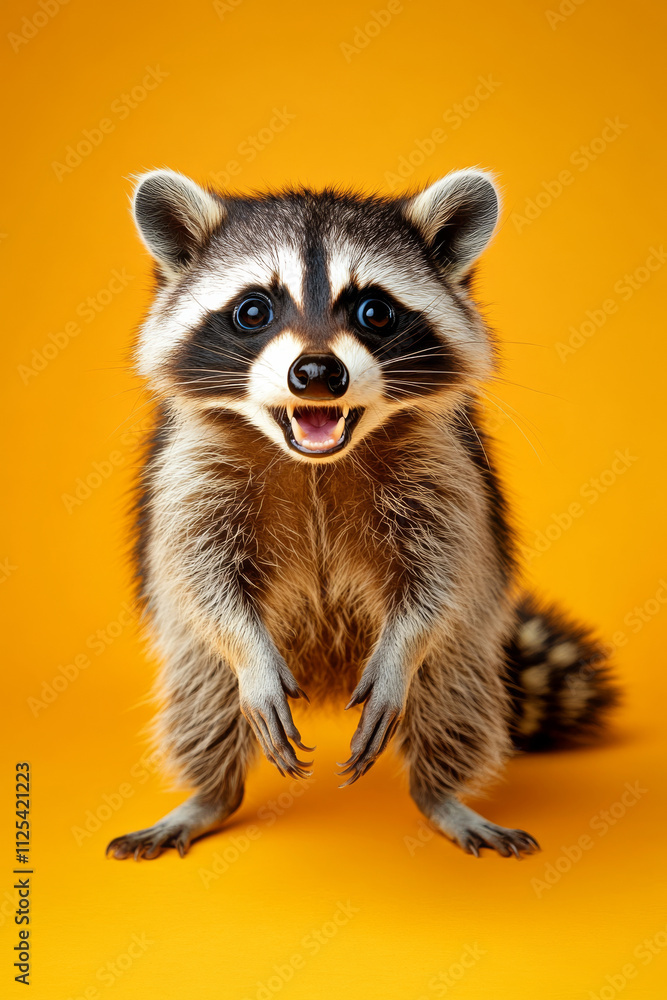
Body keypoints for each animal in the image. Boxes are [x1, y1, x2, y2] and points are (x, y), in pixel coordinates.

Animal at [106, 167, 617, 861]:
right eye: (253, 311)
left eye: (375, 311)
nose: (318, 372)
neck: (316, 460)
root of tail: (326, 667)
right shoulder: (191, 469)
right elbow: (197, 573)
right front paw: (246, 654)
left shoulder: (444, 468)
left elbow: (442, 578)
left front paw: (404, 652)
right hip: (196, 657)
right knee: (204, 703)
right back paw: (210, 795)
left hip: (468, 649)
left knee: (452, 701)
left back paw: (440, 795)